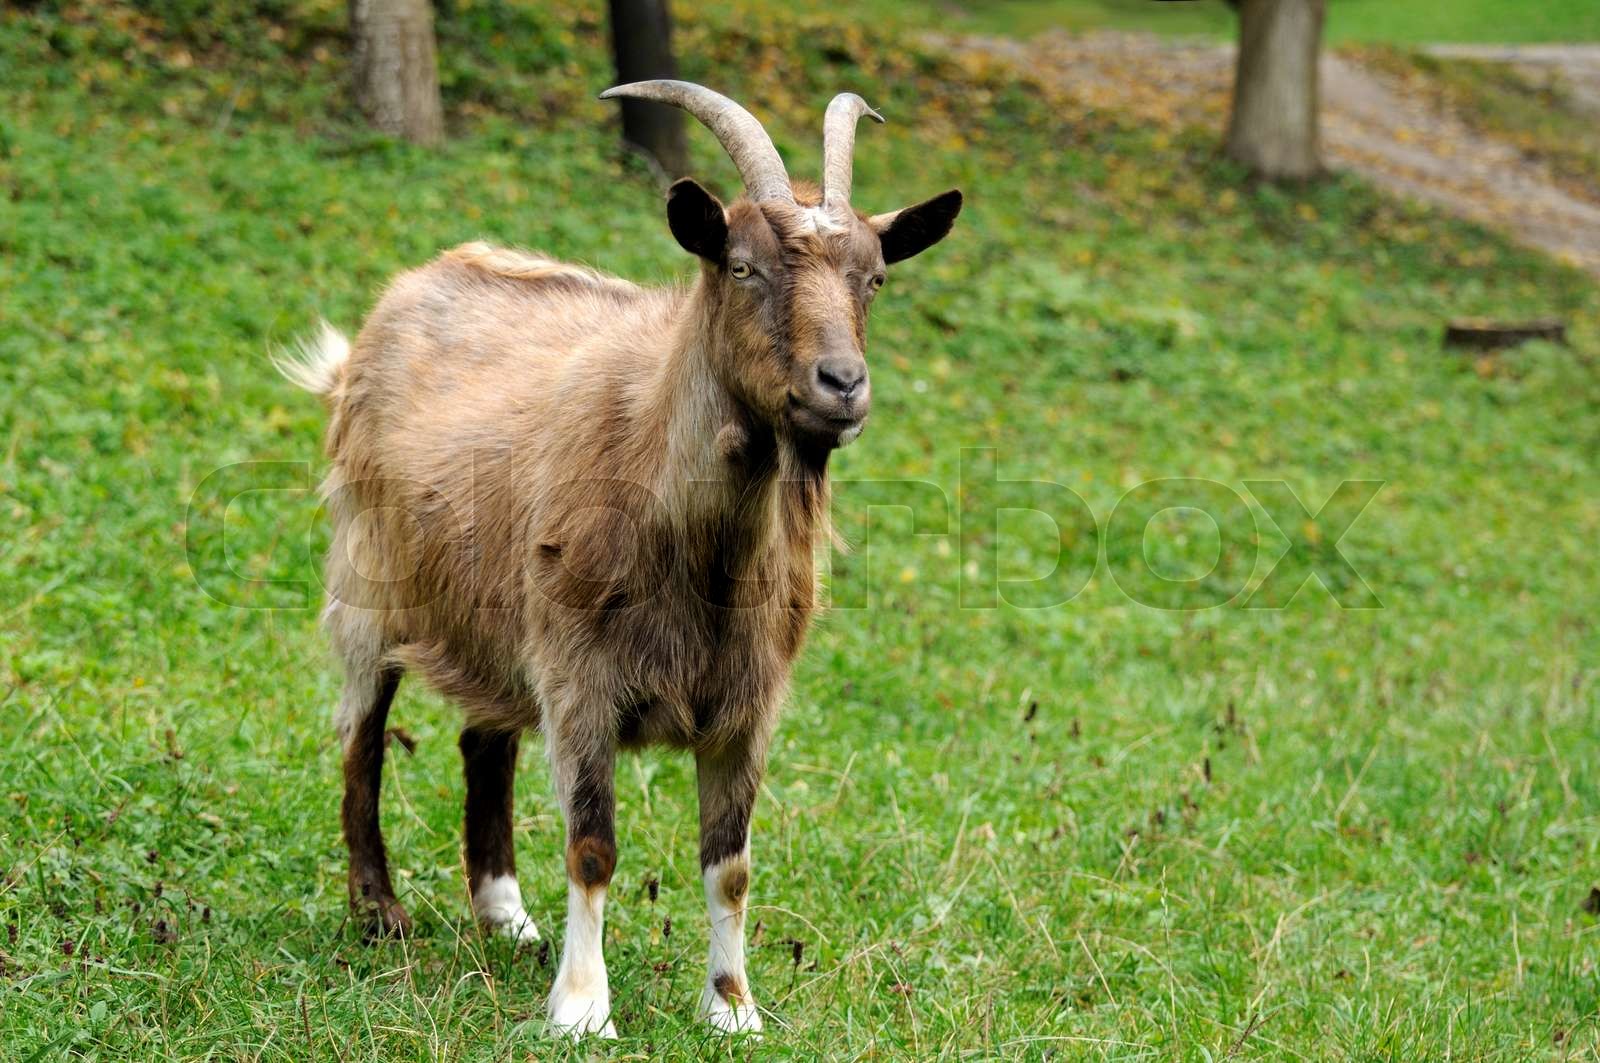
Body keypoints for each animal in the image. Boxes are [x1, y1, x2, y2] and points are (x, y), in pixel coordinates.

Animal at [282, 81, 961, 1038]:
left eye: (875, 277)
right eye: (742, 266)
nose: (843, 385)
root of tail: (402, 296)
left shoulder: (748, 702)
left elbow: (730, 865)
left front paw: (733, 1006)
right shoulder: (582, 680)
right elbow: (593, 846)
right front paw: (581, 1009)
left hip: (500, 619)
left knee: (483, 738)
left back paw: (507, 916)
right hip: (367, 580)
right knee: (362, 732)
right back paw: (379, 911)